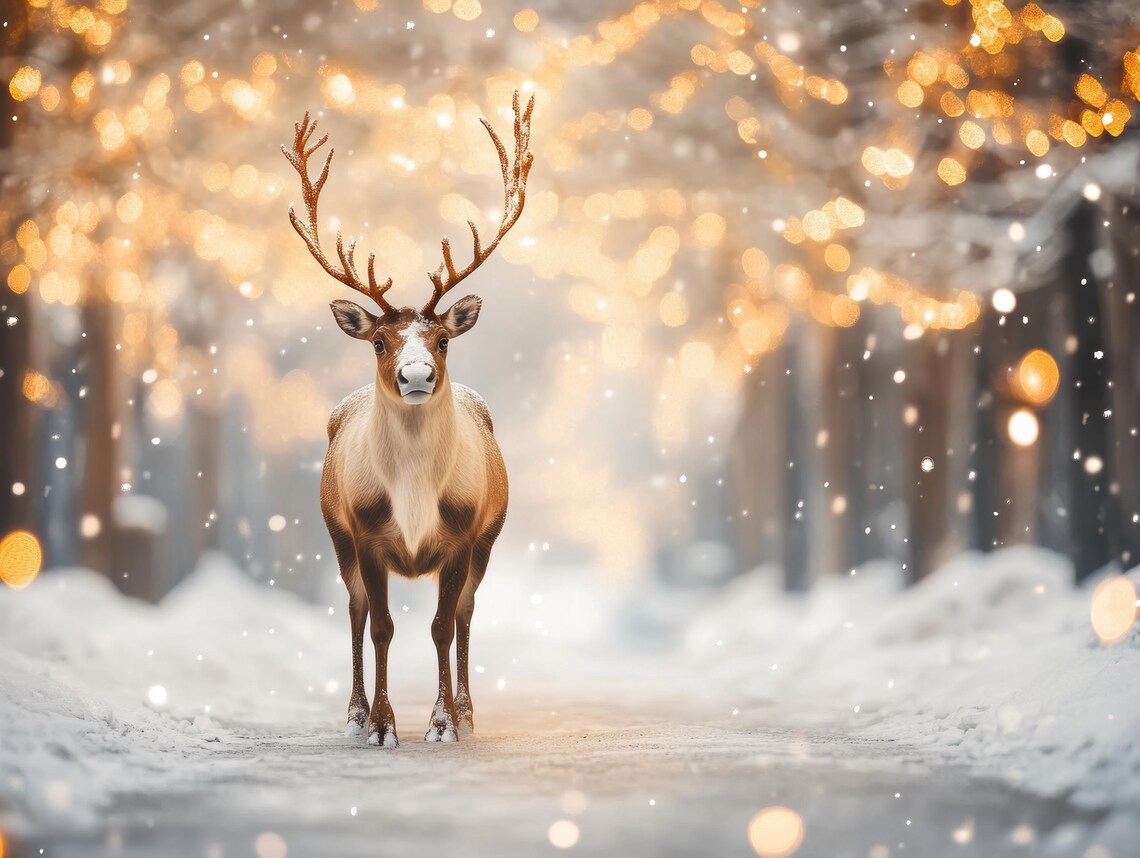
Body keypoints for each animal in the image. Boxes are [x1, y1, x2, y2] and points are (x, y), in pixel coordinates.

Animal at [281, 92, 534, 747]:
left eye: (442, 340)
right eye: (378, 342)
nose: (415, 376)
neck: (418, 498)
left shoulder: (463, 535)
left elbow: (442, 625)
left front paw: (442, 723)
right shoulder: (366, 532)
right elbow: (381, 626)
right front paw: (380, 725)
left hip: (488, 540)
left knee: (466, 613)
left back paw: (468, 712)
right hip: (336, 533)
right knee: (354, 610)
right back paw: (351, 714)